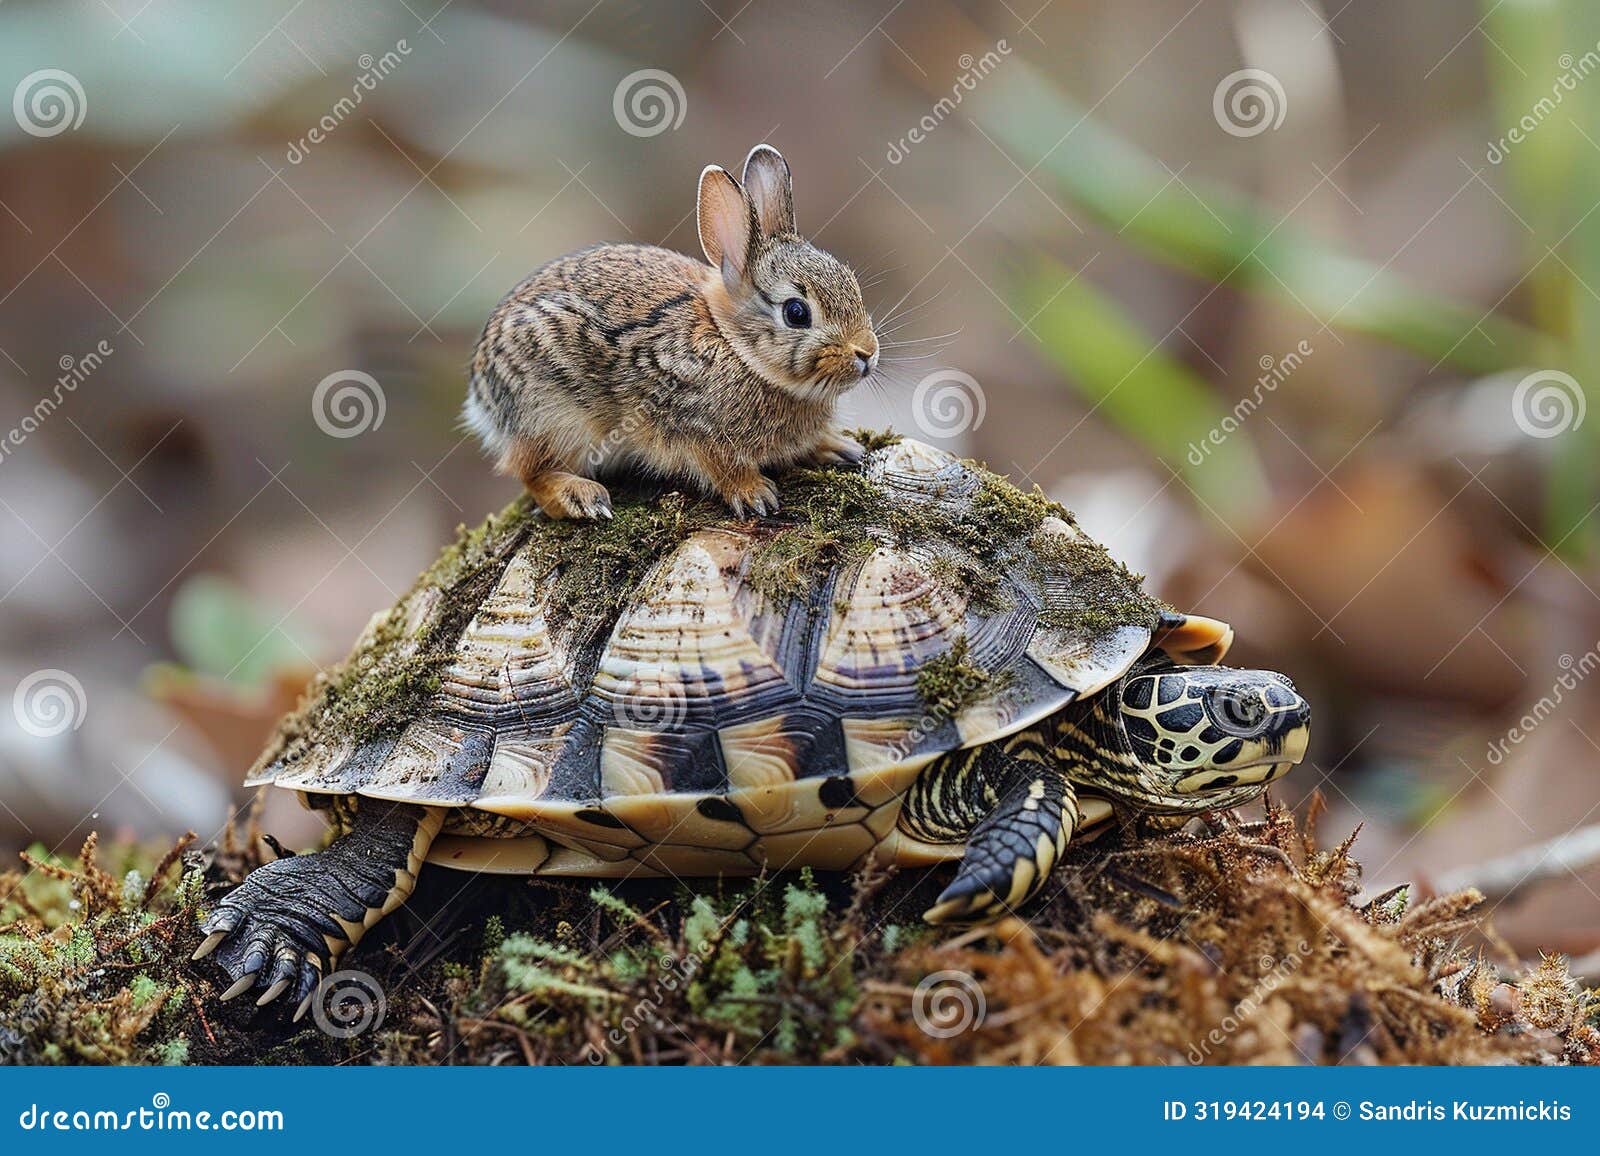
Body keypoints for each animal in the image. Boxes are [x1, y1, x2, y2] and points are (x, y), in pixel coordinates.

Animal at [464, 144, 880, 520]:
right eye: (796, 313)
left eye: (851, 282)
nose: (866, 353)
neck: (733, 344)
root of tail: (480, 393)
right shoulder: (693, 430)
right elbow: (721, 467)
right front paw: (754, 495)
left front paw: (839, 447)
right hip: (553, 415)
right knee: (529, 471)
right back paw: (581, 497)